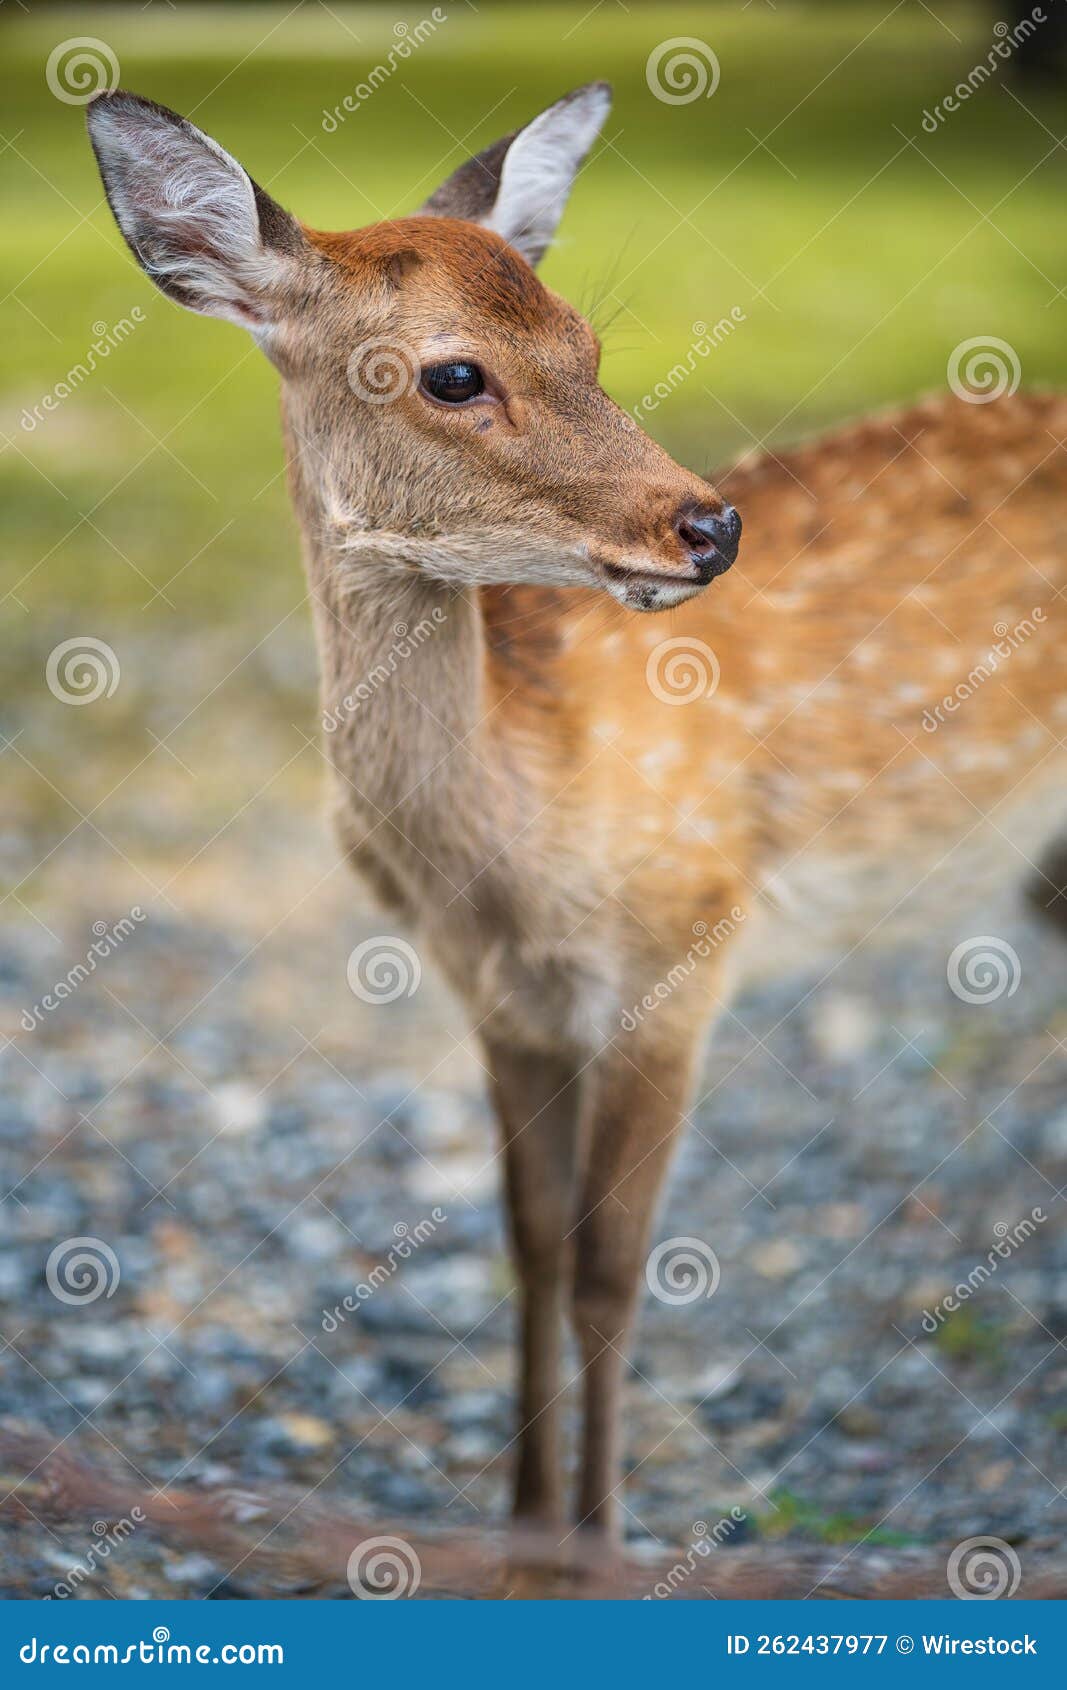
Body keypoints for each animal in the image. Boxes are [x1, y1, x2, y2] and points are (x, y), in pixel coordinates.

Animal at [87, 82, 1067, 1547]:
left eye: (587, 341)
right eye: (452, 375)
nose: (709, 527)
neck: (509, 854)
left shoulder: (686, 931)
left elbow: (612, 1263)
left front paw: (598, 1536)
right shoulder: (499, 994)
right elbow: (533, 1243)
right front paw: (525, 1522)